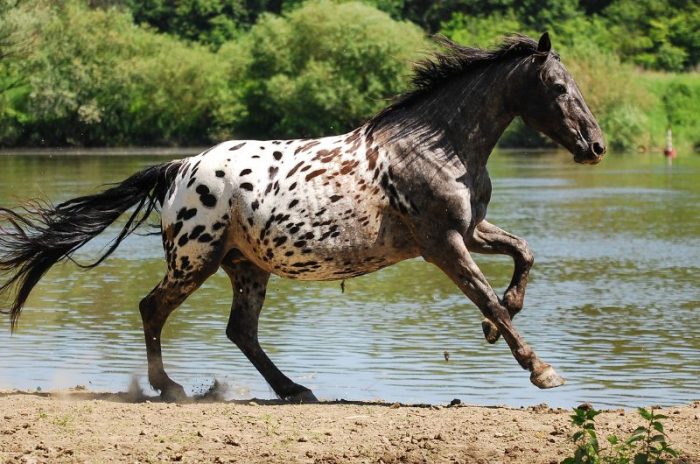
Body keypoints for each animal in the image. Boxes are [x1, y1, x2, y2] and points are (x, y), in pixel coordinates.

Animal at [0, 33, 605, 402]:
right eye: (558, 87)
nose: (596, 146)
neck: (436, 146)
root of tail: (179, 168)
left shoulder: (470, 231)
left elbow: (523, 255)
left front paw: (496, 324)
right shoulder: (442, 244)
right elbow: (487, 295)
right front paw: (541, 370)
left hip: (245, 266)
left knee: (239, 330)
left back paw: (293, 389)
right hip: (196, 258)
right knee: (154, 308)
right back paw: (169, 387)